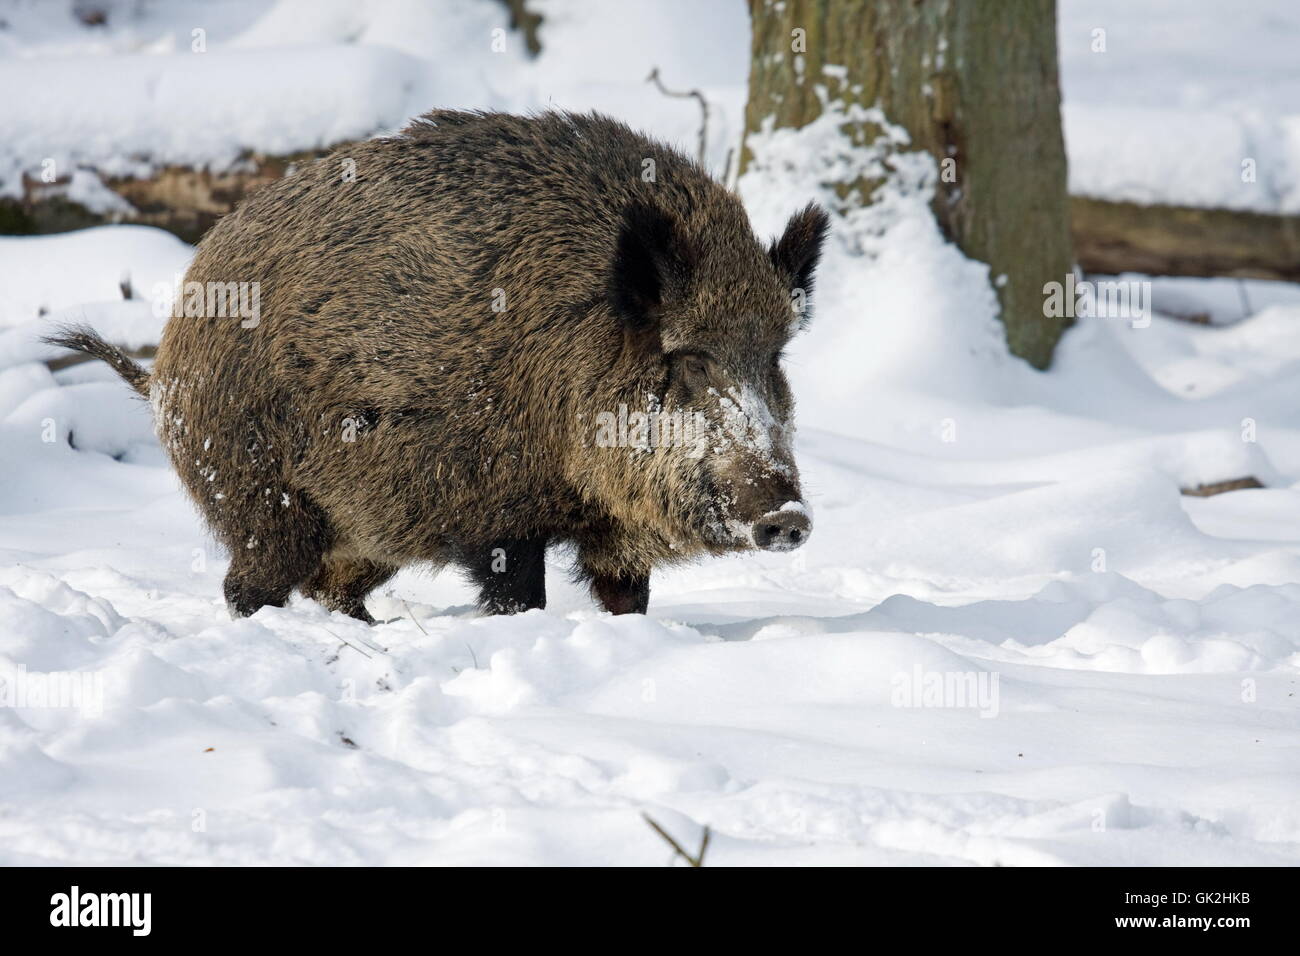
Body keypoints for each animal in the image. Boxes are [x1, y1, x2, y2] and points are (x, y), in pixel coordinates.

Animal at [46, 110, 829, 621]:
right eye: (689, 357)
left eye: (775, 356)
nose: (789, 516)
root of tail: (162, 368)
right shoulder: (496, 507)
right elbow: (518, 596)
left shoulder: (610, 528)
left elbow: (625, 599)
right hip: (262, 494)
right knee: (249, 587)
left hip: (360, 529)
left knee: (331, 589)